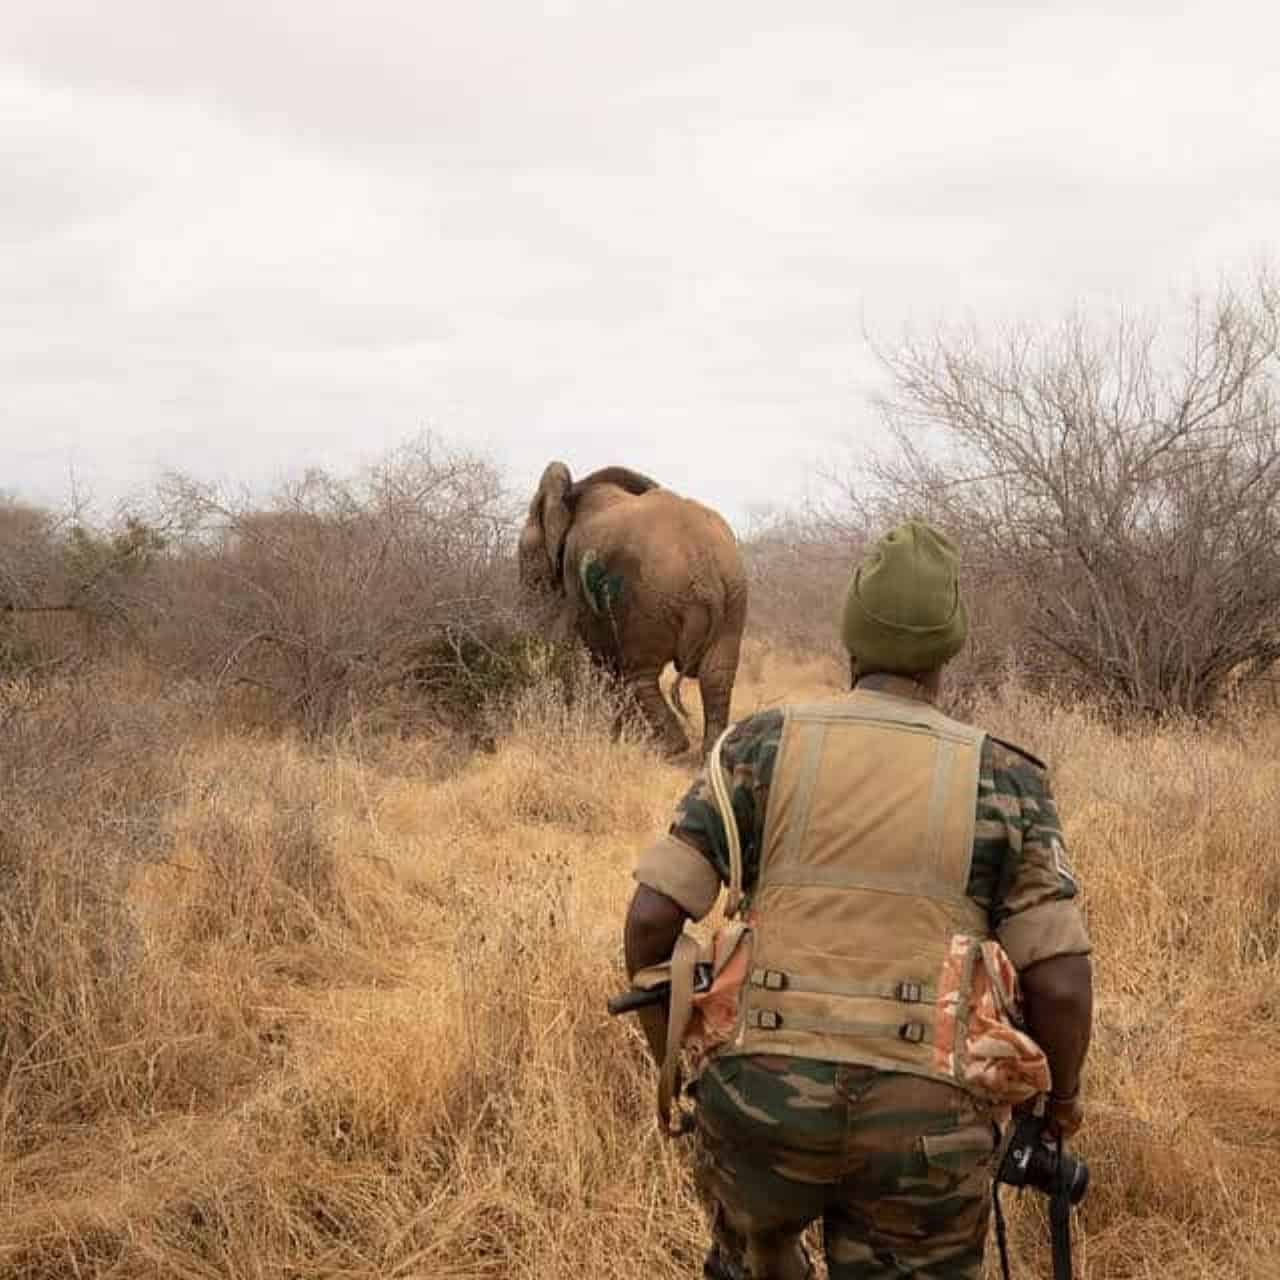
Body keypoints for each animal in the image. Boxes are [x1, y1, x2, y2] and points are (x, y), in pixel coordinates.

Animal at [518, 461, 749, 758]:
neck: (574, 491)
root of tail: (704, 568)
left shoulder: (573, 575)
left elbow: (592, 653)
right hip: (733, 593)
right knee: (716, 674)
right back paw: (707, 752)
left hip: (648, 598)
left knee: (639, 675)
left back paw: (664, 749)